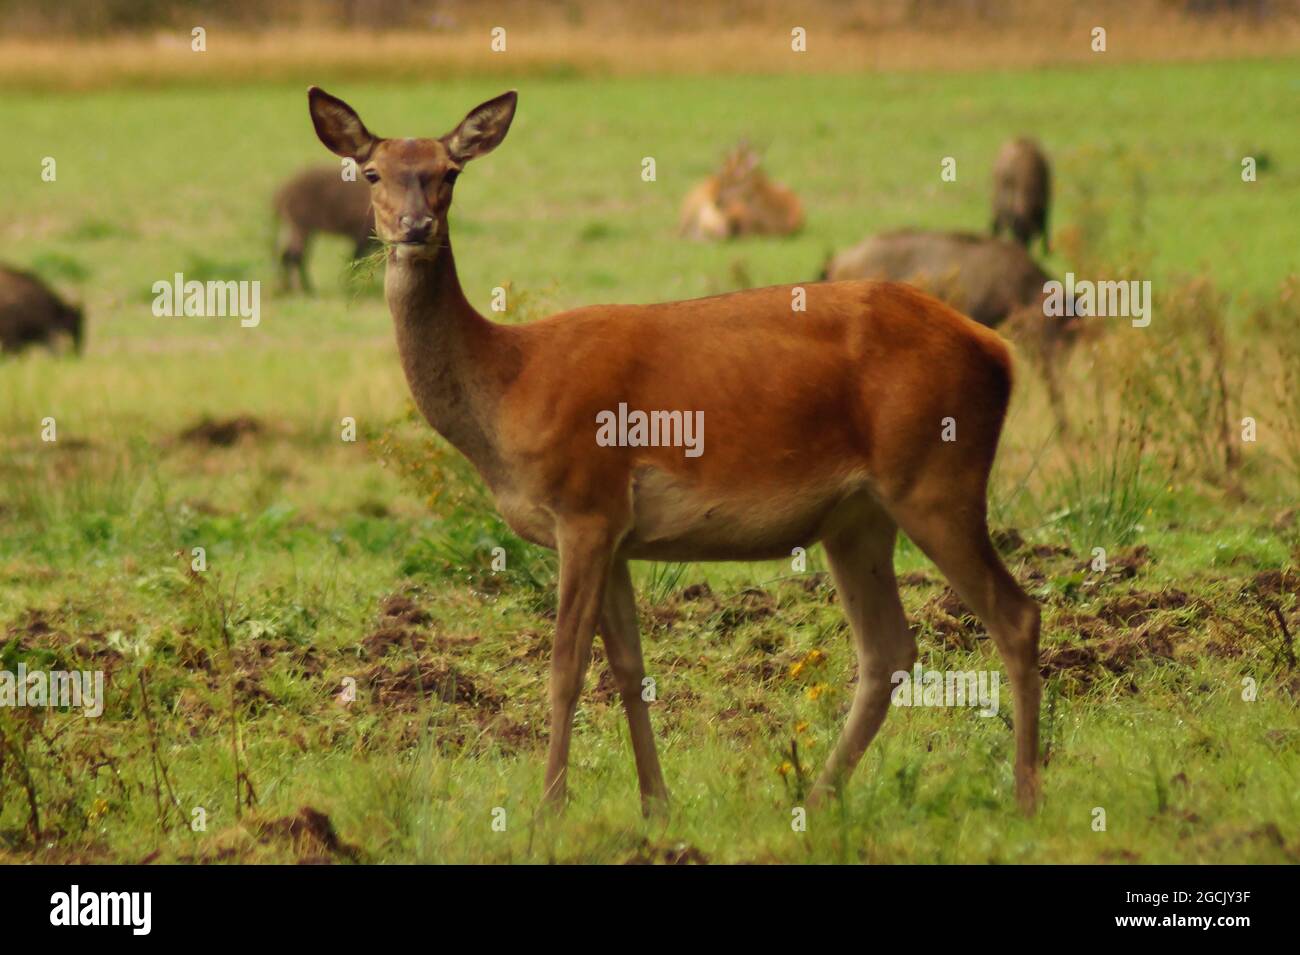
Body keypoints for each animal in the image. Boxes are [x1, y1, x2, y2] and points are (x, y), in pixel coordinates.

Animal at [307, 87, 1043, 816]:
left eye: (449, 172)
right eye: (371, 173)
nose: (414, 226)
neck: (507, 387)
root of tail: (999, 352)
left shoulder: (585, 503)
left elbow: (565, 667)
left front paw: (549, 811)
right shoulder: (614, 530)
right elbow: (629, 667)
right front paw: (656, 805)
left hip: (935, 477)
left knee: (1015, 614)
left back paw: (1025, 796)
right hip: (858, 516)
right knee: (888, 649)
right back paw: (818, 797)